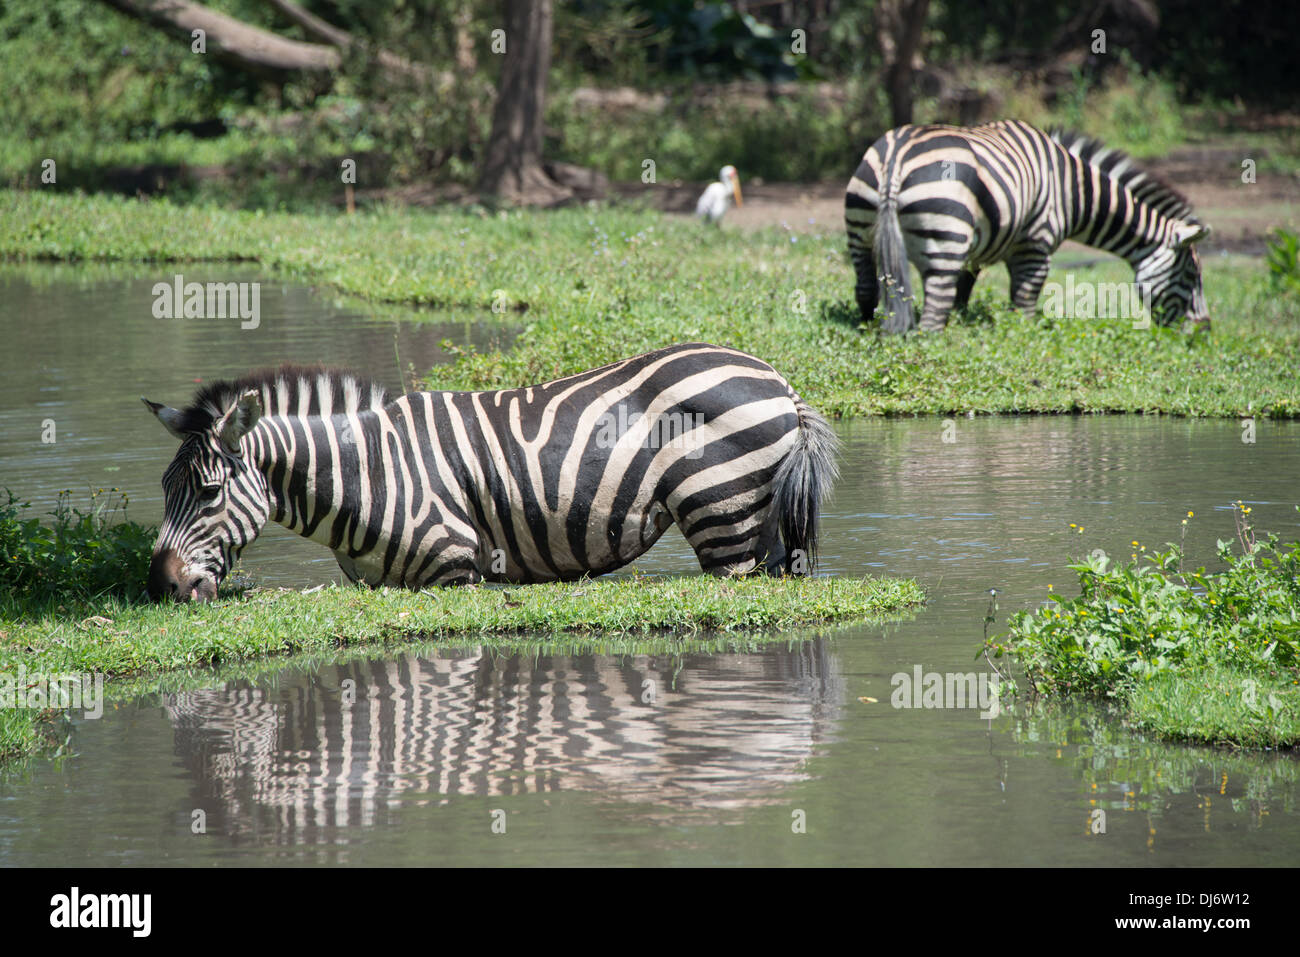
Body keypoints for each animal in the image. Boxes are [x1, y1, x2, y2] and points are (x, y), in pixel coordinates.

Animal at [142, 343, 839, 601]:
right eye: (164, 491)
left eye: (209, 493)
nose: (159, 586)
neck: (369, 472)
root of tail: (778, 380)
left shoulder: (456, 570)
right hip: (763, 523)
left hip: (724, 517)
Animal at [844, 119, 1211, 333]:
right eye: (1191, 276)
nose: (1205, 329)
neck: (1071, 189)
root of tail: (896, 160)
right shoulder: (1035, 244)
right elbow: (1024, 300)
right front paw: (1026, 338)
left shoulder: (978, 244)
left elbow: (965, 288)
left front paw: (962, 321)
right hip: (945, 235)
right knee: (935, 308)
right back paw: (934, 342)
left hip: (859, 225)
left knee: (865, 288)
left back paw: (866, 328)